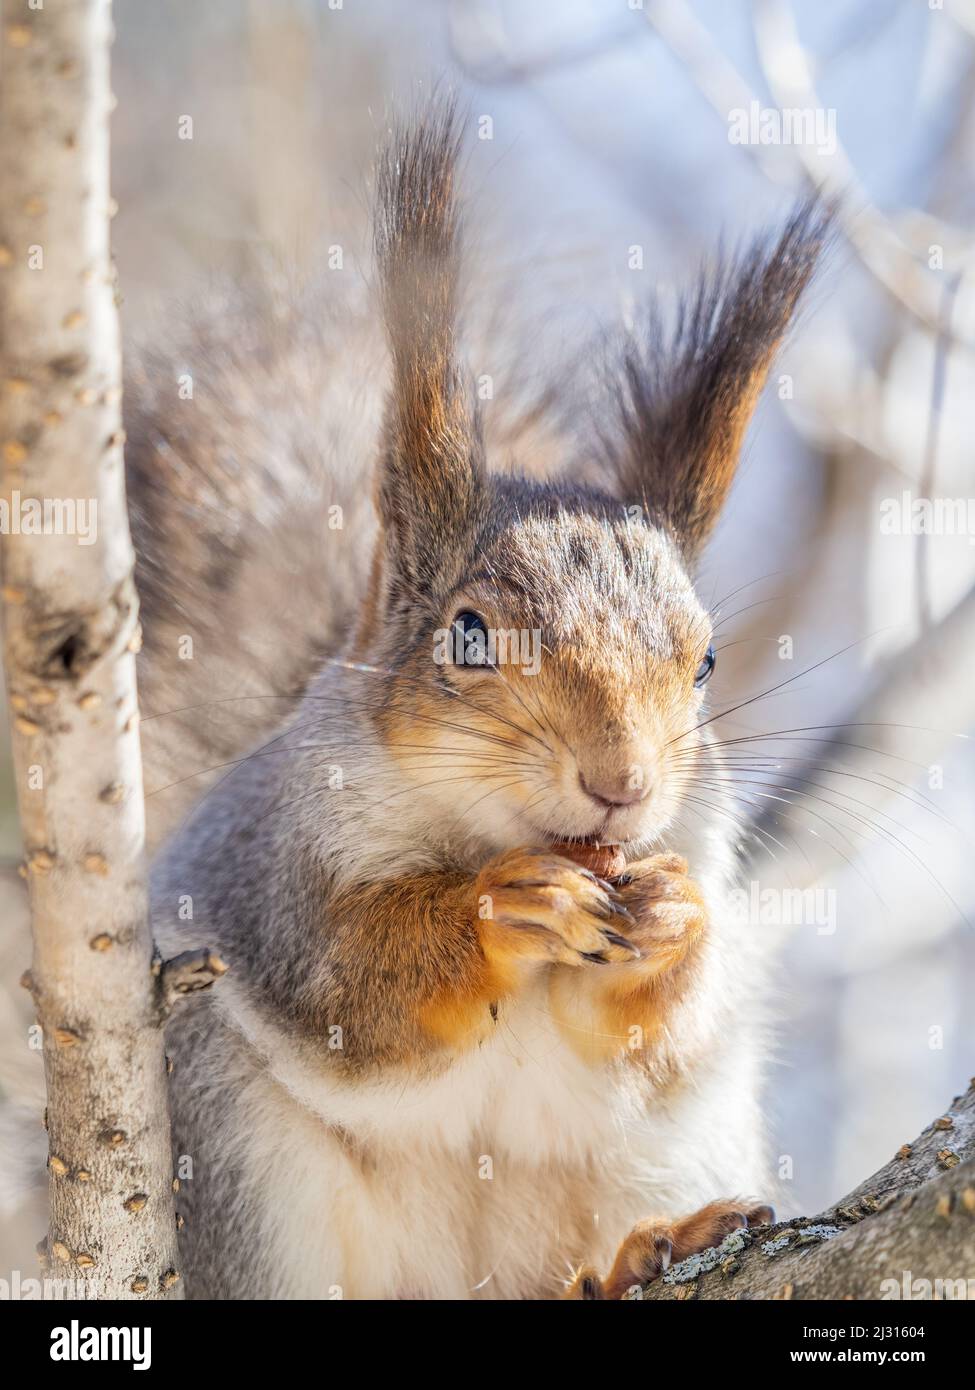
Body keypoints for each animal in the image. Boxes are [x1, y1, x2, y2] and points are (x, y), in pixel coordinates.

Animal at [125, 102, 829, 1300]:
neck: (493, 825)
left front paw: (673, 917)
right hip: (229, 1143)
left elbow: (662, 1031)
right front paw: (503, 907)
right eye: (466, 633)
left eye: (705, 665)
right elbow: (351, 984)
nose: (621, 783)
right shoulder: (271, 871)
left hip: (668, 1148)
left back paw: (644, 1250)